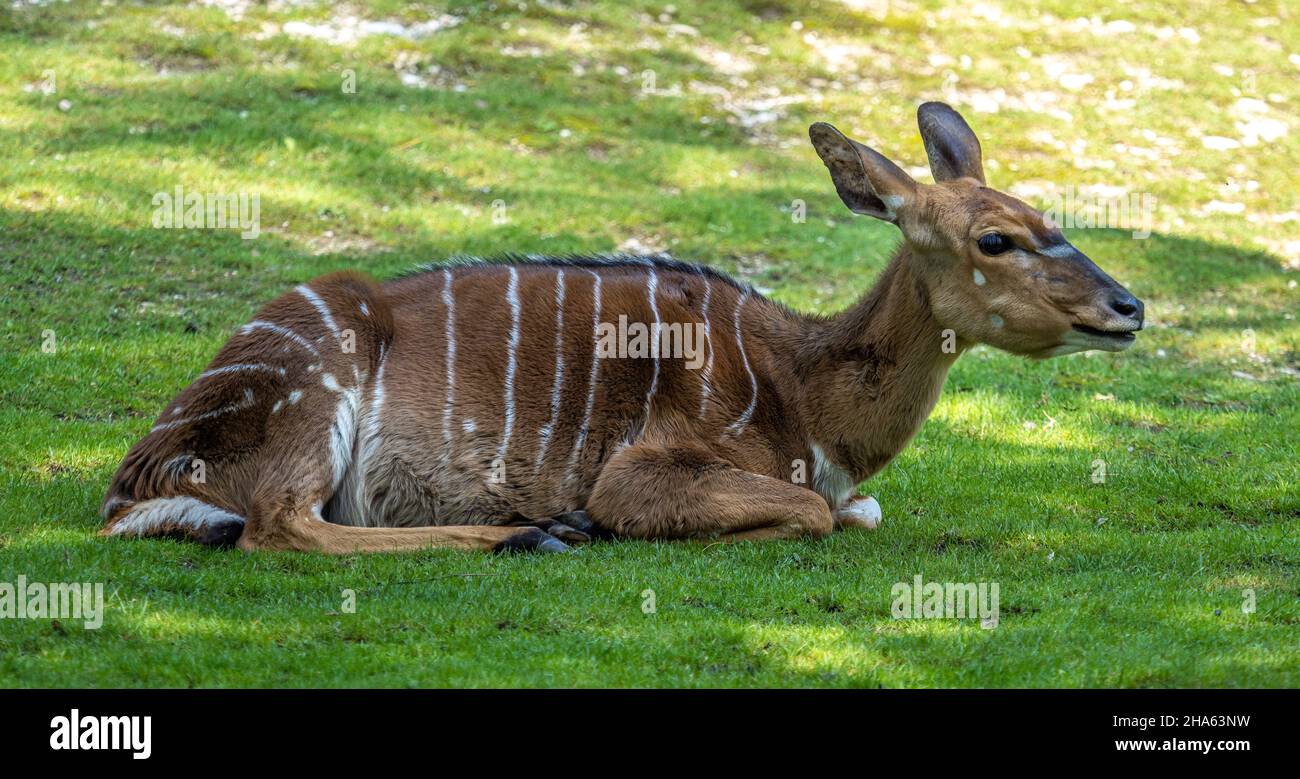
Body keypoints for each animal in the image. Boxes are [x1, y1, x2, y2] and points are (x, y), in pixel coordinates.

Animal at [101, 102, 1144, 554]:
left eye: (1045, 214)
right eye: (996, 237)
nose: (1127, 307)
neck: (806, 399)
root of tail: (135, 482)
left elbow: (857, 509)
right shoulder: (645, 466)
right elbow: (812, 513)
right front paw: (589, 521)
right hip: (316, 394)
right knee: (278, 525)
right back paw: (534, 533)